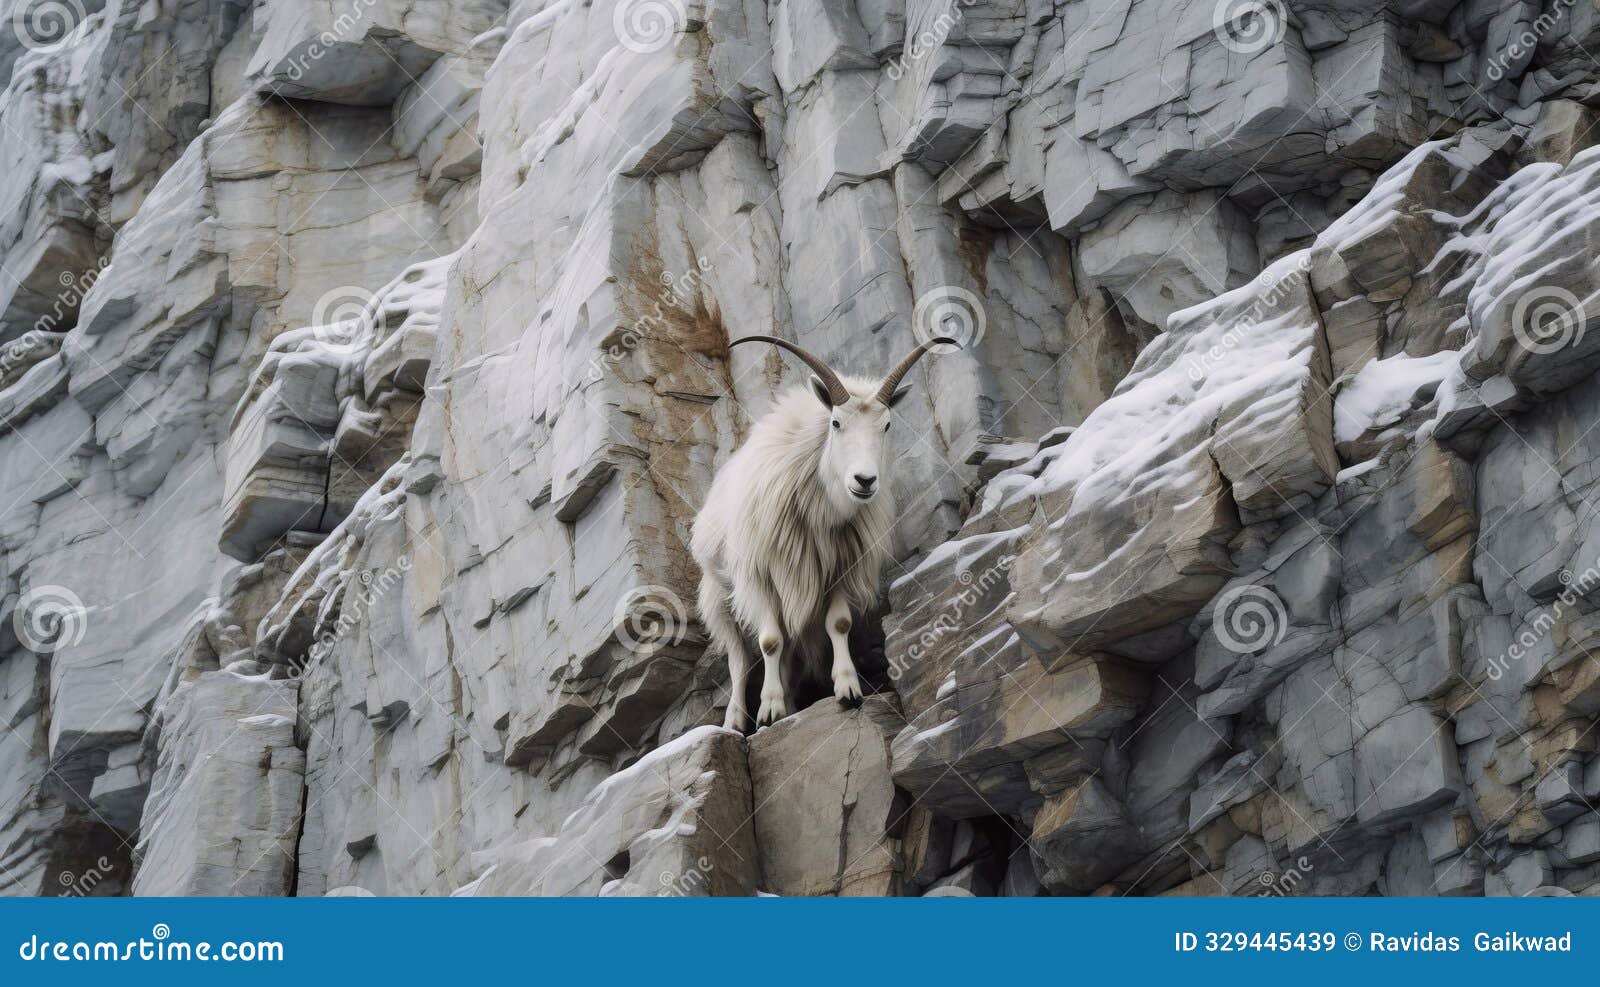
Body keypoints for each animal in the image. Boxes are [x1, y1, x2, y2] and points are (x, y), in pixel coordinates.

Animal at [691, 334, 953, 730]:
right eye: (836, 423)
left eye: (887, 425)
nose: (864, 481)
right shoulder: (760, 574)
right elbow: (769, 642)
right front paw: (769, 709)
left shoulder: (840, 569)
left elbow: (839, 624)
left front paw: (847, 689)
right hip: (719, 593)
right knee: (738, 657)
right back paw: (736, 720)